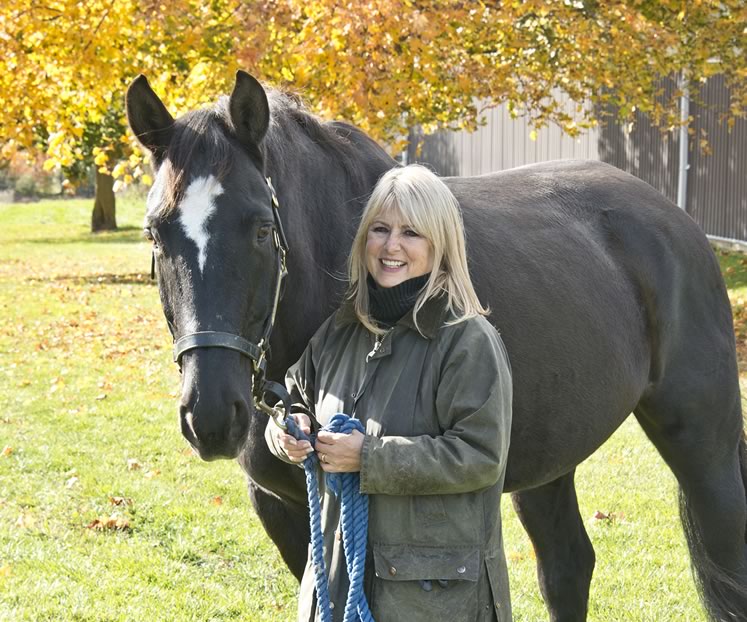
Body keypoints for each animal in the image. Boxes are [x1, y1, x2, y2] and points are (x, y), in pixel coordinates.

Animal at [125, 70, 747, 621]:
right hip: (549, 460)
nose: (210, 415)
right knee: (568, 568)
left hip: (703, 442)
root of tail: (678, 222)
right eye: (155, 233)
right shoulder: (285, 510)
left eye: (259, 228)